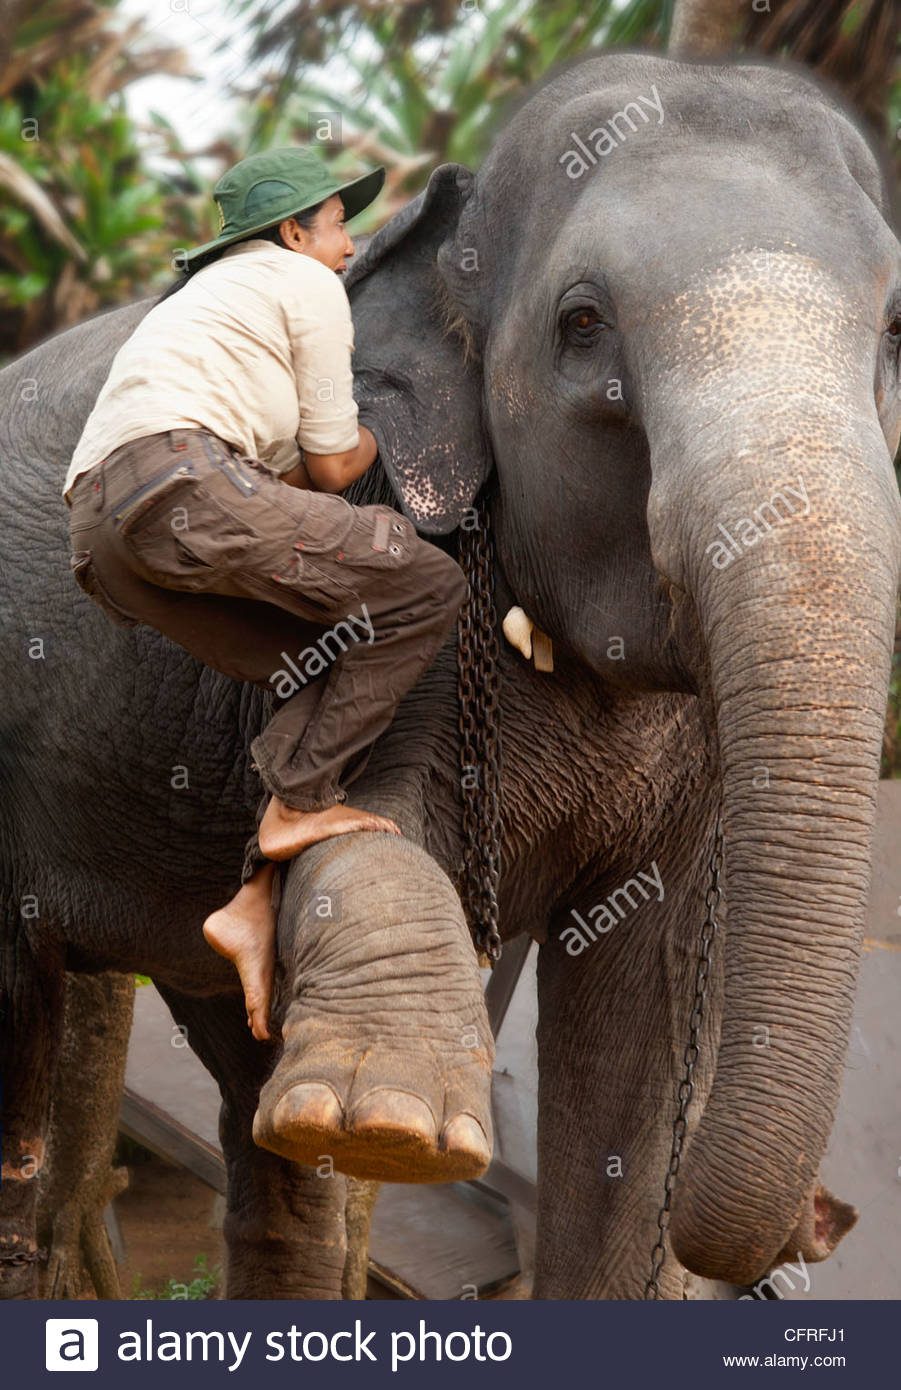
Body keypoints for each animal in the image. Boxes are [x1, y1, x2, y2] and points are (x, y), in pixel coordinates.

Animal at [1, 48, 899, 1300]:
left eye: (895, 326)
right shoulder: (391, 570)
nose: (816, 1231)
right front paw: (393, 1117)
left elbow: (640, 1033)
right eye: (582, 324)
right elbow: (379, 822)